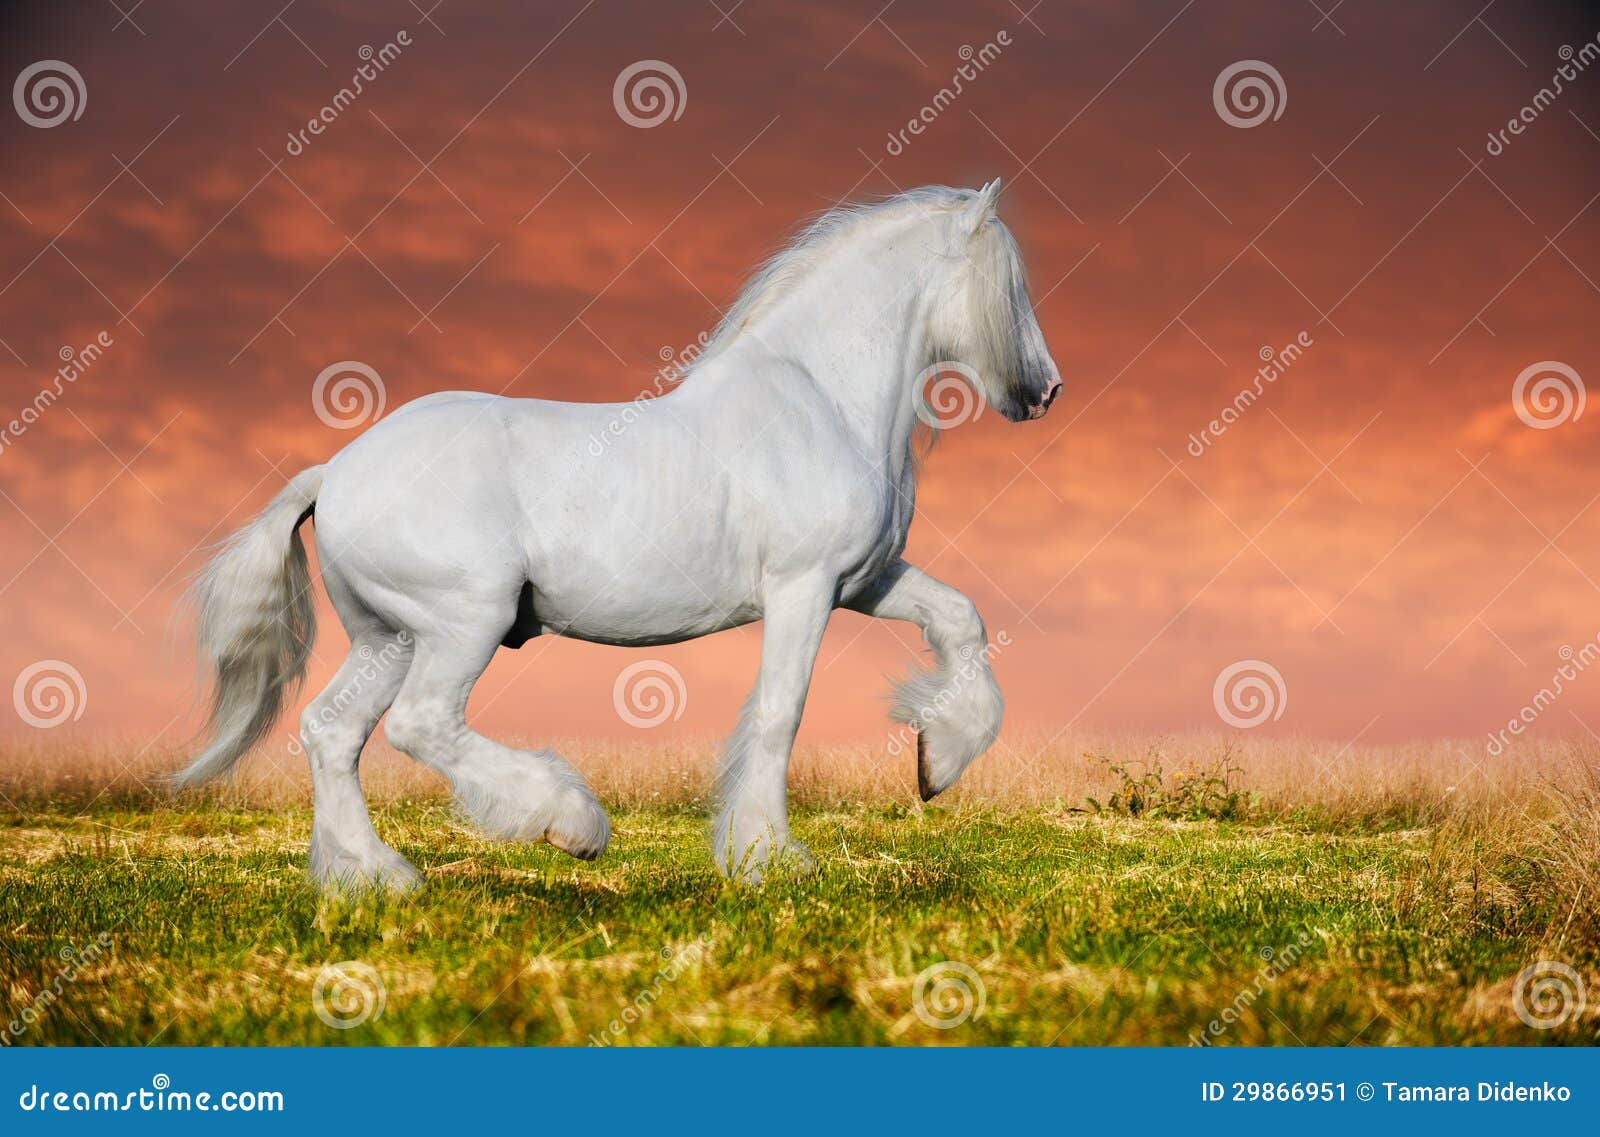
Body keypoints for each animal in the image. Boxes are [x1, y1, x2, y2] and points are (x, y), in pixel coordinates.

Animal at [174, 179, 1063, 891]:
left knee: (331, 732)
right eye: (1009, 283)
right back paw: (570, 823)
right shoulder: (803, 587)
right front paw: (767, 857)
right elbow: (781, 712)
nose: (1046, 389)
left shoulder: (865, 579)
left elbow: (959, 617)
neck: (820, 397)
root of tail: (335, 471)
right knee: (419, 724)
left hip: (387, 636)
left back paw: (377, 878)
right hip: (462, 621)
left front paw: (936, 760)